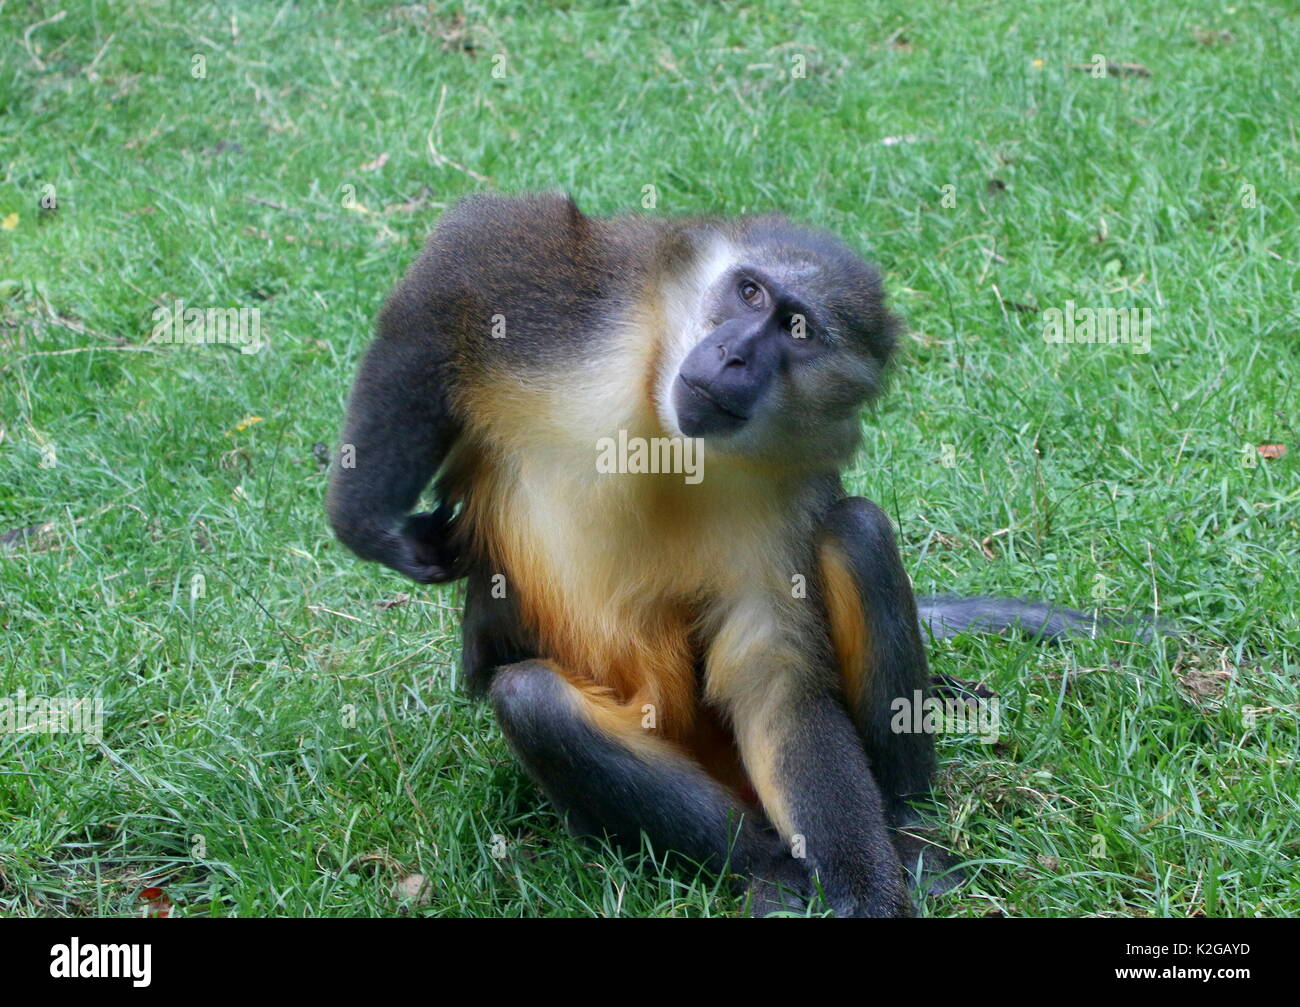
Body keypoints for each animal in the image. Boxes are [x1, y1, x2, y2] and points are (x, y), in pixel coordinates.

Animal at [326, 192, 1133, 917]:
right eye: (749, 292)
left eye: (796, 328)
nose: (737, 352)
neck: (659, 424)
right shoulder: (567, 299)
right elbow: (457, 269)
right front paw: (366, 518)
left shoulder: (790, 485)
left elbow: (773, 675)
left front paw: (865, 890)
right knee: (534, 699)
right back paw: (768, 866)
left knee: (859, 532)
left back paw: (904, 825)